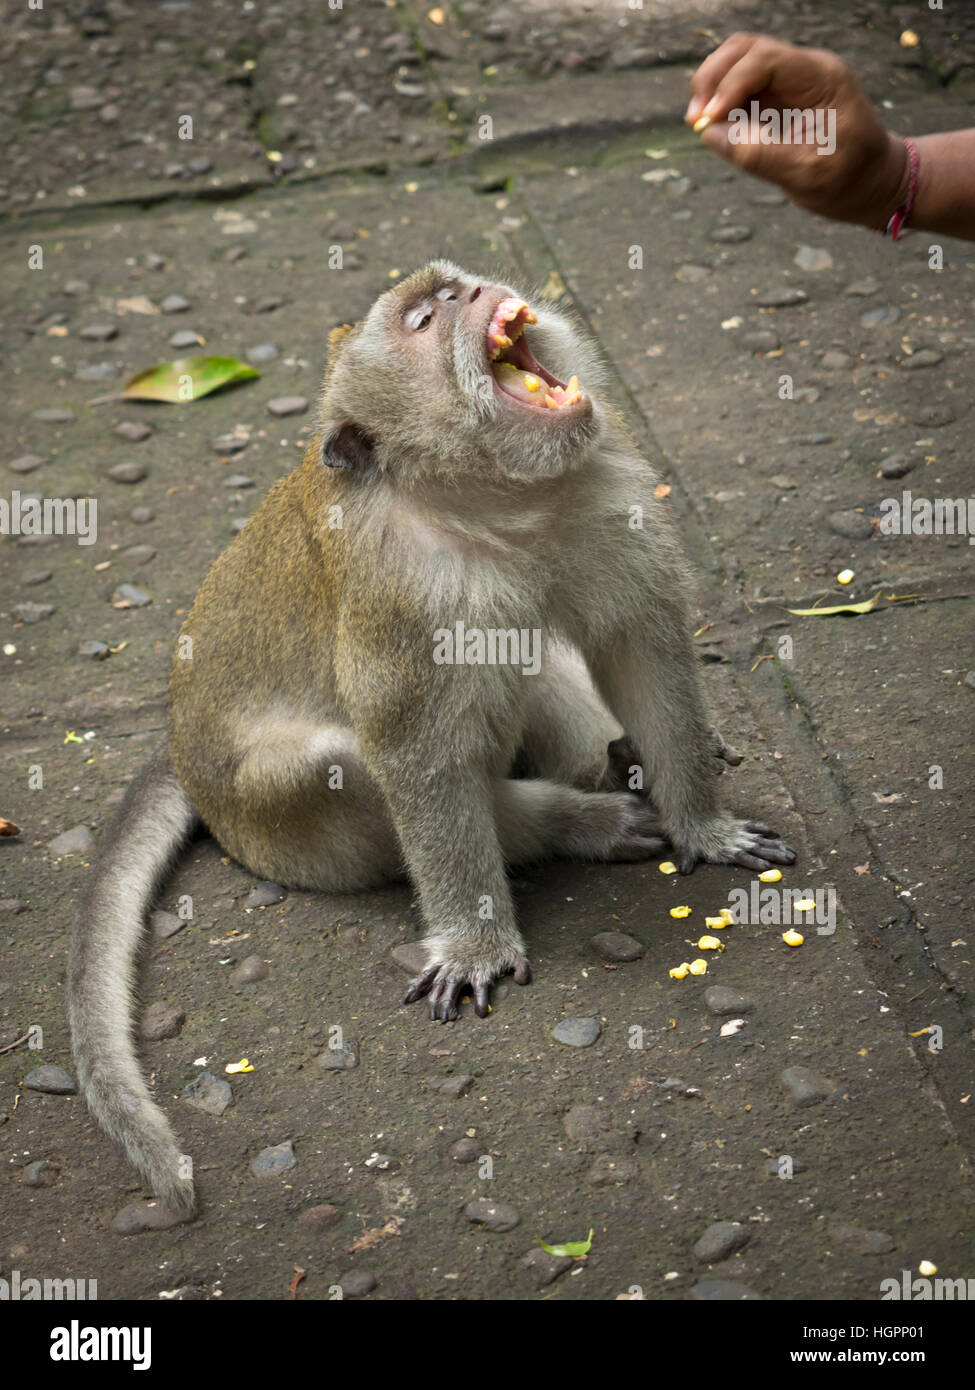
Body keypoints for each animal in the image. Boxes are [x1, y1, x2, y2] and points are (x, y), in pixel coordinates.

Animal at [67, 260, 795, 1217]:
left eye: (450, 286)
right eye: (421, 321)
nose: (465, 295)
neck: (494, 502)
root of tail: (178, 742)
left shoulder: (605, 500)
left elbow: (641, 646)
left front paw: (702, 821)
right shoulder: (402, 603)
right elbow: (416, 758)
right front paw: (477, 942)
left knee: (532, 650)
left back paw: (613, 762)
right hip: (270, 823)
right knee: (335, 767)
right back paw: (582, 821)